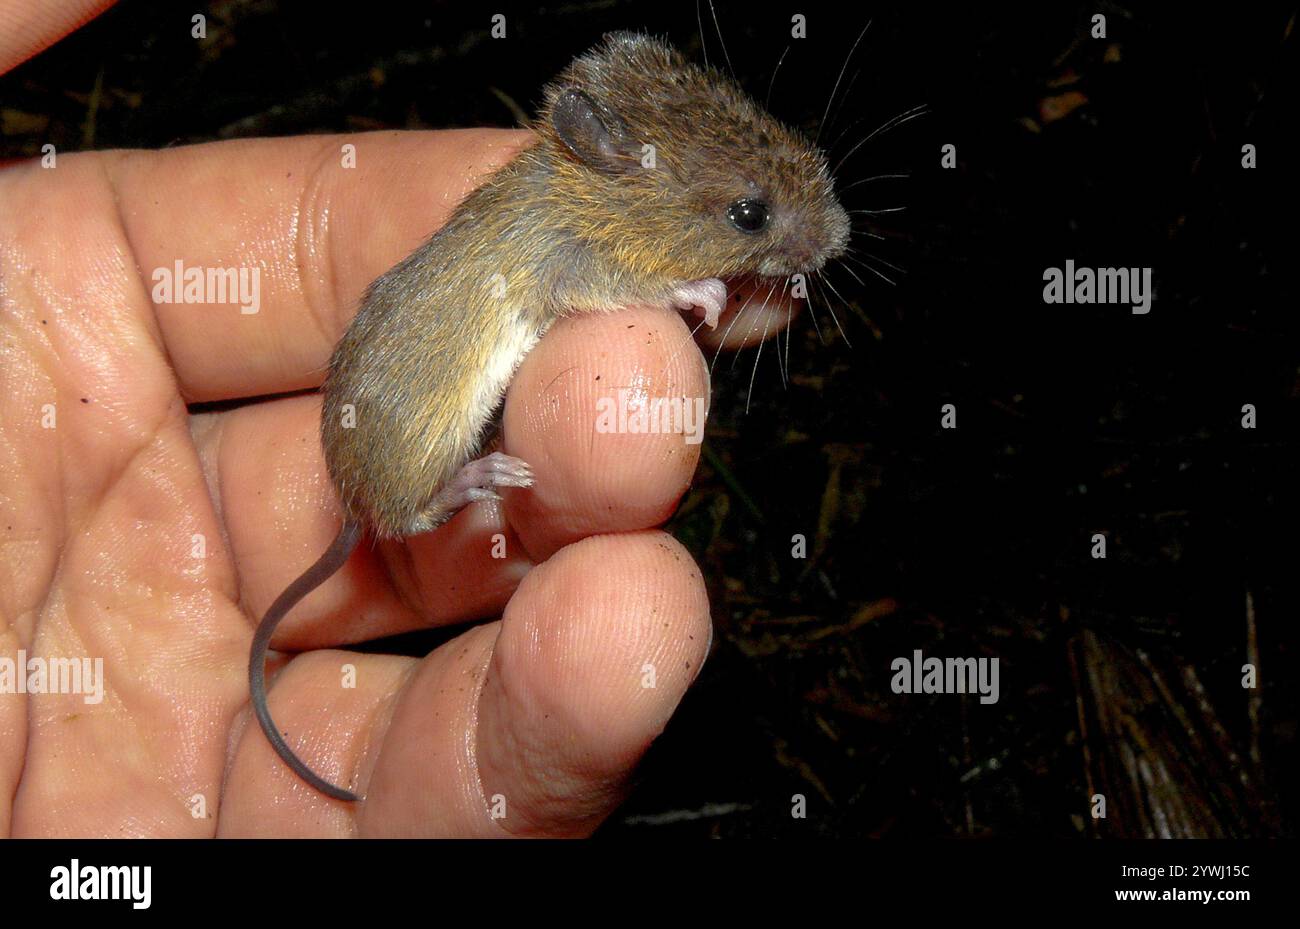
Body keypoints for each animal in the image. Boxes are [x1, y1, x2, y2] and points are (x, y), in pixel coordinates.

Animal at [249, 31, 851, 801]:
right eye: (750, 213)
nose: (843, 234)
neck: (594, 194)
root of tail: (350, 504)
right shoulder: (578, 270)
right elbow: (645, 285)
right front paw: (708, 294)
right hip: (426, 449)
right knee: (412, 519)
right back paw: (484, 475)